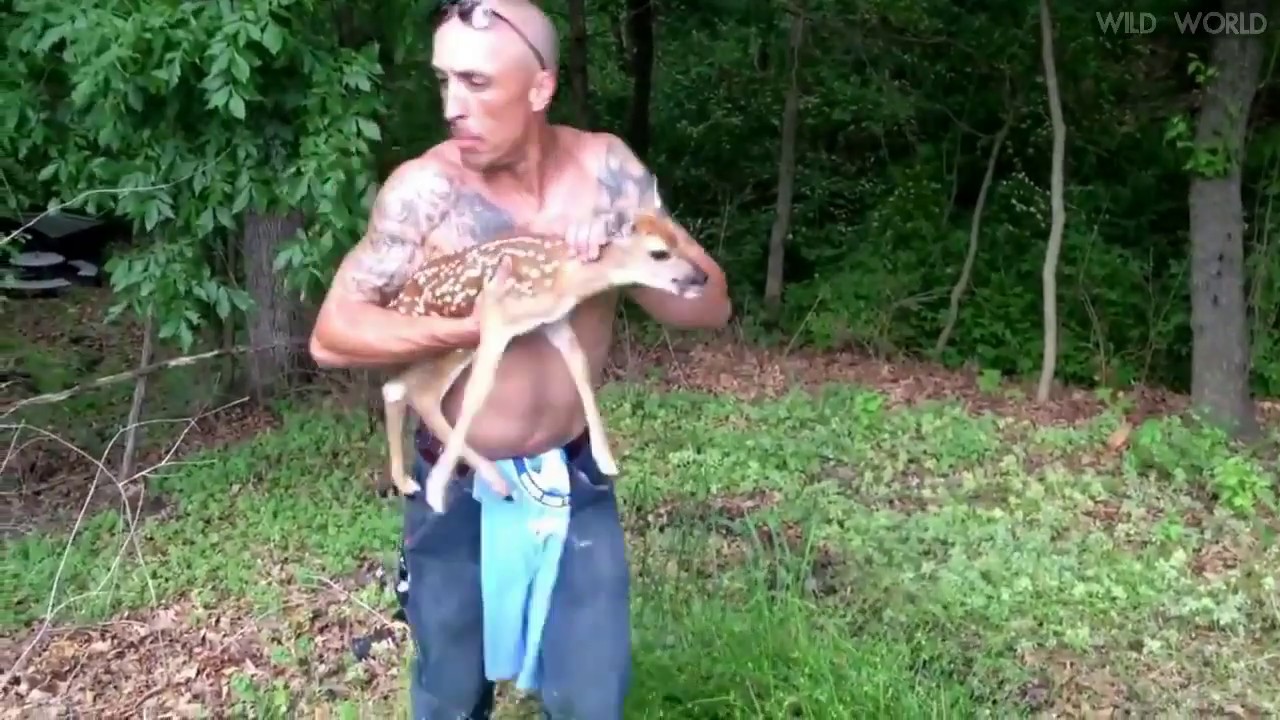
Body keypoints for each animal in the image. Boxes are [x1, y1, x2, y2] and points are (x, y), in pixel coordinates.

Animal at [380, 210, 710, 513]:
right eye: (659, 252)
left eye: (677, 239)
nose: (702, 277)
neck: (564, 277)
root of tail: (398, 303)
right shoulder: (495, 319)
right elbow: (478, 392)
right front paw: (436, 490)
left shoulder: (555, 322)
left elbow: (580, 366)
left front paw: (605, 459)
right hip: (453, 341)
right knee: (423, 394)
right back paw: (475, 482)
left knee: (396, 388)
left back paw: (406, 482)